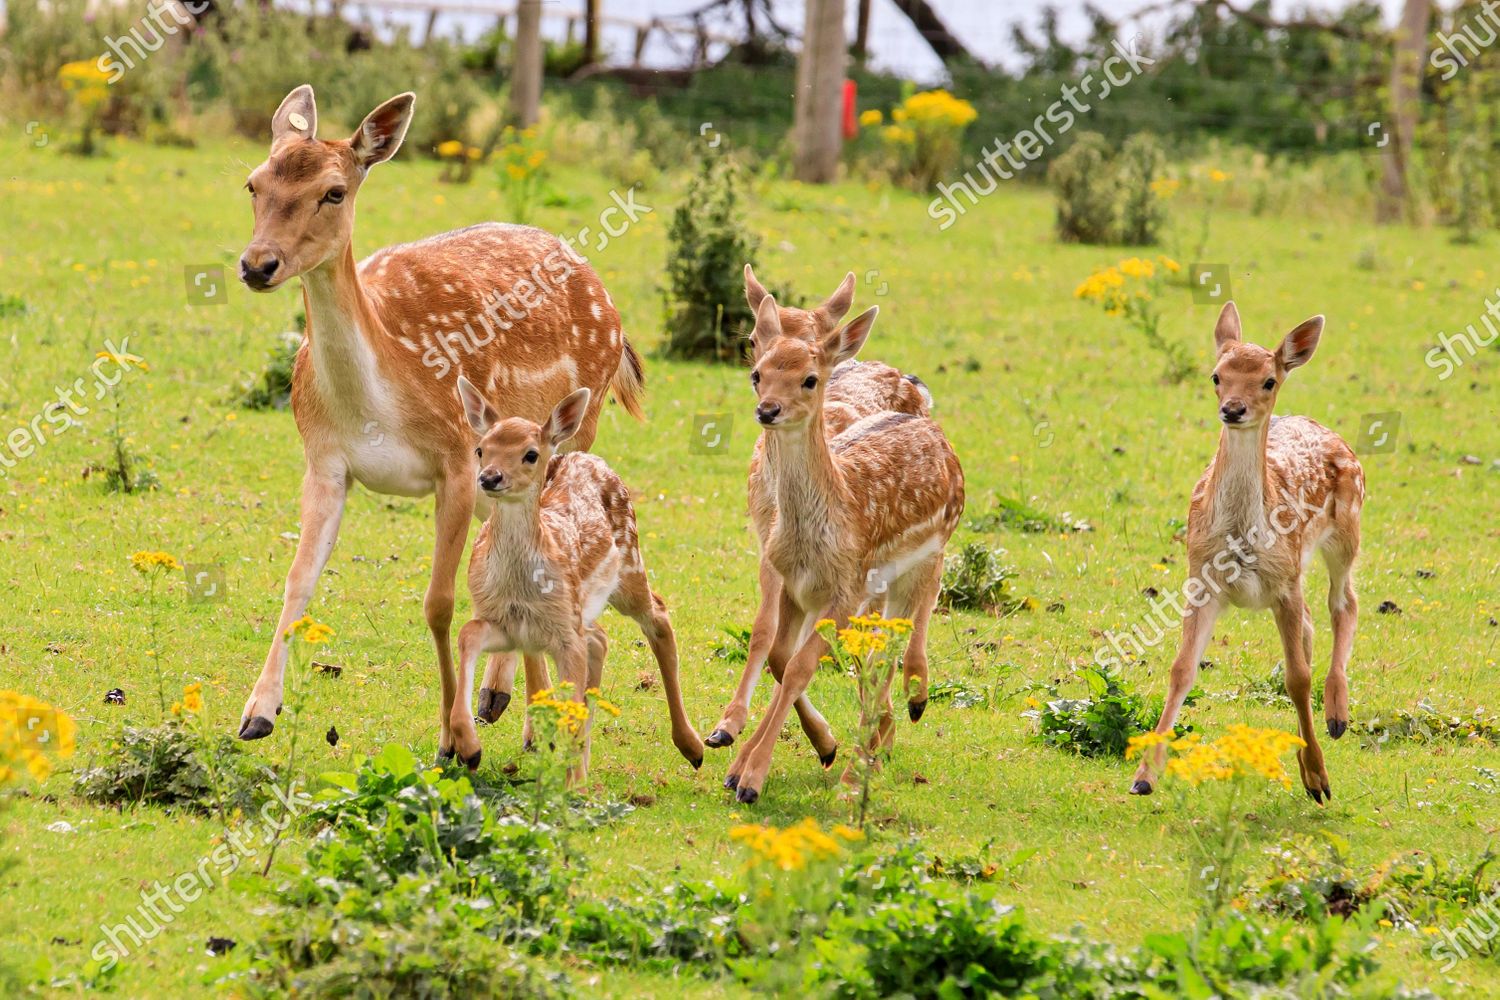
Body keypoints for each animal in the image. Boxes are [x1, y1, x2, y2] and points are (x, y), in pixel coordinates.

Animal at [234, 85, 646, 761]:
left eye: (334, 191)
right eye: (254, 183)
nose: (257, 264)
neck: (376, 406)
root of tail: (610, 301)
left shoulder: (455, 459)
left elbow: (438, 602)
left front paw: (455, 742)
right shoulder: (324, 461)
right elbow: (297, 581)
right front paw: (257, 714)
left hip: (573, 433)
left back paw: (521, 713)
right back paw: (504, 698)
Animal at [451, 381, 704, 778]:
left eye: (530, 454)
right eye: (481, 448)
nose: (489, 477)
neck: (520, 586)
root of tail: (590, 458)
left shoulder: (565, 630)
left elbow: (571, 709)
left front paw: (574, 785)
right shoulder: (506, 623)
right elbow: (466, 634)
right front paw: (468, 747)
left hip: (629, 565)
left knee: (658, 615)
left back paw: (693, 746)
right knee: (600, 637)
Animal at [722, 293, 965, 804]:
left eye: (809, 378)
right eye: (758, 371)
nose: (768, 409)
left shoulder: (844, 590)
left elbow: (798, 667)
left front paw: (752, 780)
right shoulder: (793, 583)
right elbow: (778, 653)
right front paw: (736, 759)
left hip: (921, 563)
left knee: (901, 637)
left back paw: (881, 742)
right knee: (872, 655)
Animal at [1129, 301, 1364, 804]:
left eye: (1268, 380)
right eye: (1217, 375)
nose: (1232, 409)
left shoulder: (1285, 584)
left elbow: (1297, 678)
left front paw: (1319, 778)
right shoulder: (1201, 579)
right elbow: (1181, 669)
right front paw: (1144, 775)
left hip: (1346, 529)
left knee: (1344, 602)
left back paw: (1337, 715)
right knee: (1316, 621)